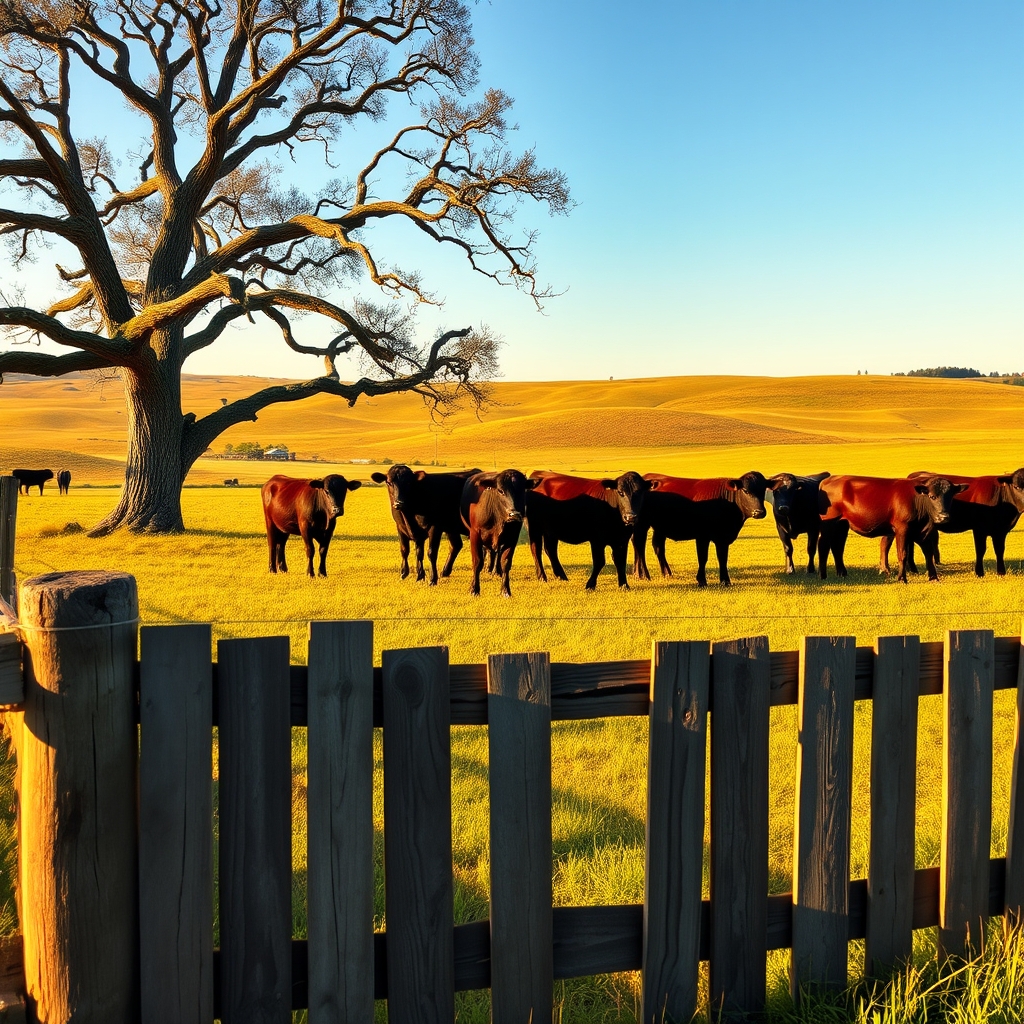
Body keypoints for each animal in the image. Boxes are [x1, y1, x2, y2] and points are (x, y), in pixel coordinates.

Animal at [632, 472, 769, 586]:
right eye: (745, 490)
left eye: (763, 490)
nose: (759, 512)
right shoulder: (702, 536)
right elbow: (703, 558)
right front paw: (702, 580)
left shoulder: (723, 538)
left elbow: (722, 558)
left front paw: (725, 581)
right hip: (641, 525)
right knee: (639, 546)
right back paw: (643, 575)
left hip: (659, 527)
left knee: (657, 546)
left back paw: (665, 573)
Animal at [817, 475, 967, 583]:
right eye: (932, 496)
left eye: (950, 497)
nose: (943, 517)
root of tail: (828, 479)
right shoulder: (902, 529)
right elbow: (903, 553)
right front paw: (901, 578)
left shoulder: (924, 532)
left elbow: (928, 553)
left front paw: (934, 577)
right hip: (828, 523)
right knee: (823, 545)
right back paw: (823, 575)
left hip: (842, 525)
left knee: (837, 547)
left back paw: (842, 573)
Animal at [880, 469, 1024, 577]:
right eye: (1016, 486)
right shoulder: (979, 529)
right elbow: (980, 549)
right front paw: (979, 572)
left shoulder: (1001, 530)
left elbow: (999, 550)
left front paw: (1001, 572)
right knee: (886, 542)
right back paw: (886, 569)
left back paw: (912, 569)